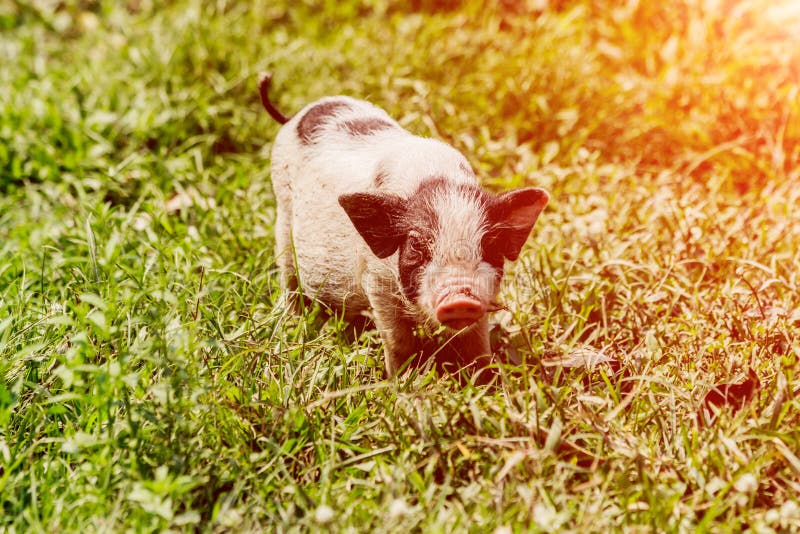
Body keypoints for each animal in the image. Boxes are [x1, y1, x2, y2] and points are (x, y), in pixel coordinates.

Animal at [259, 74, 549, 378]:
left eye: (489, 244)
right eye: (416, 244)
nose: (460, 296)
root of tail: (293, 117)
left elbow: (477, 341)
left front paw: (485, 378)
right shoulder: (376, 281)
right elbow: (397, 340)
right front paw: (400, 379)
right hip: (283, 214)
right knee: (288, 275)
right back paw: (292, 321)